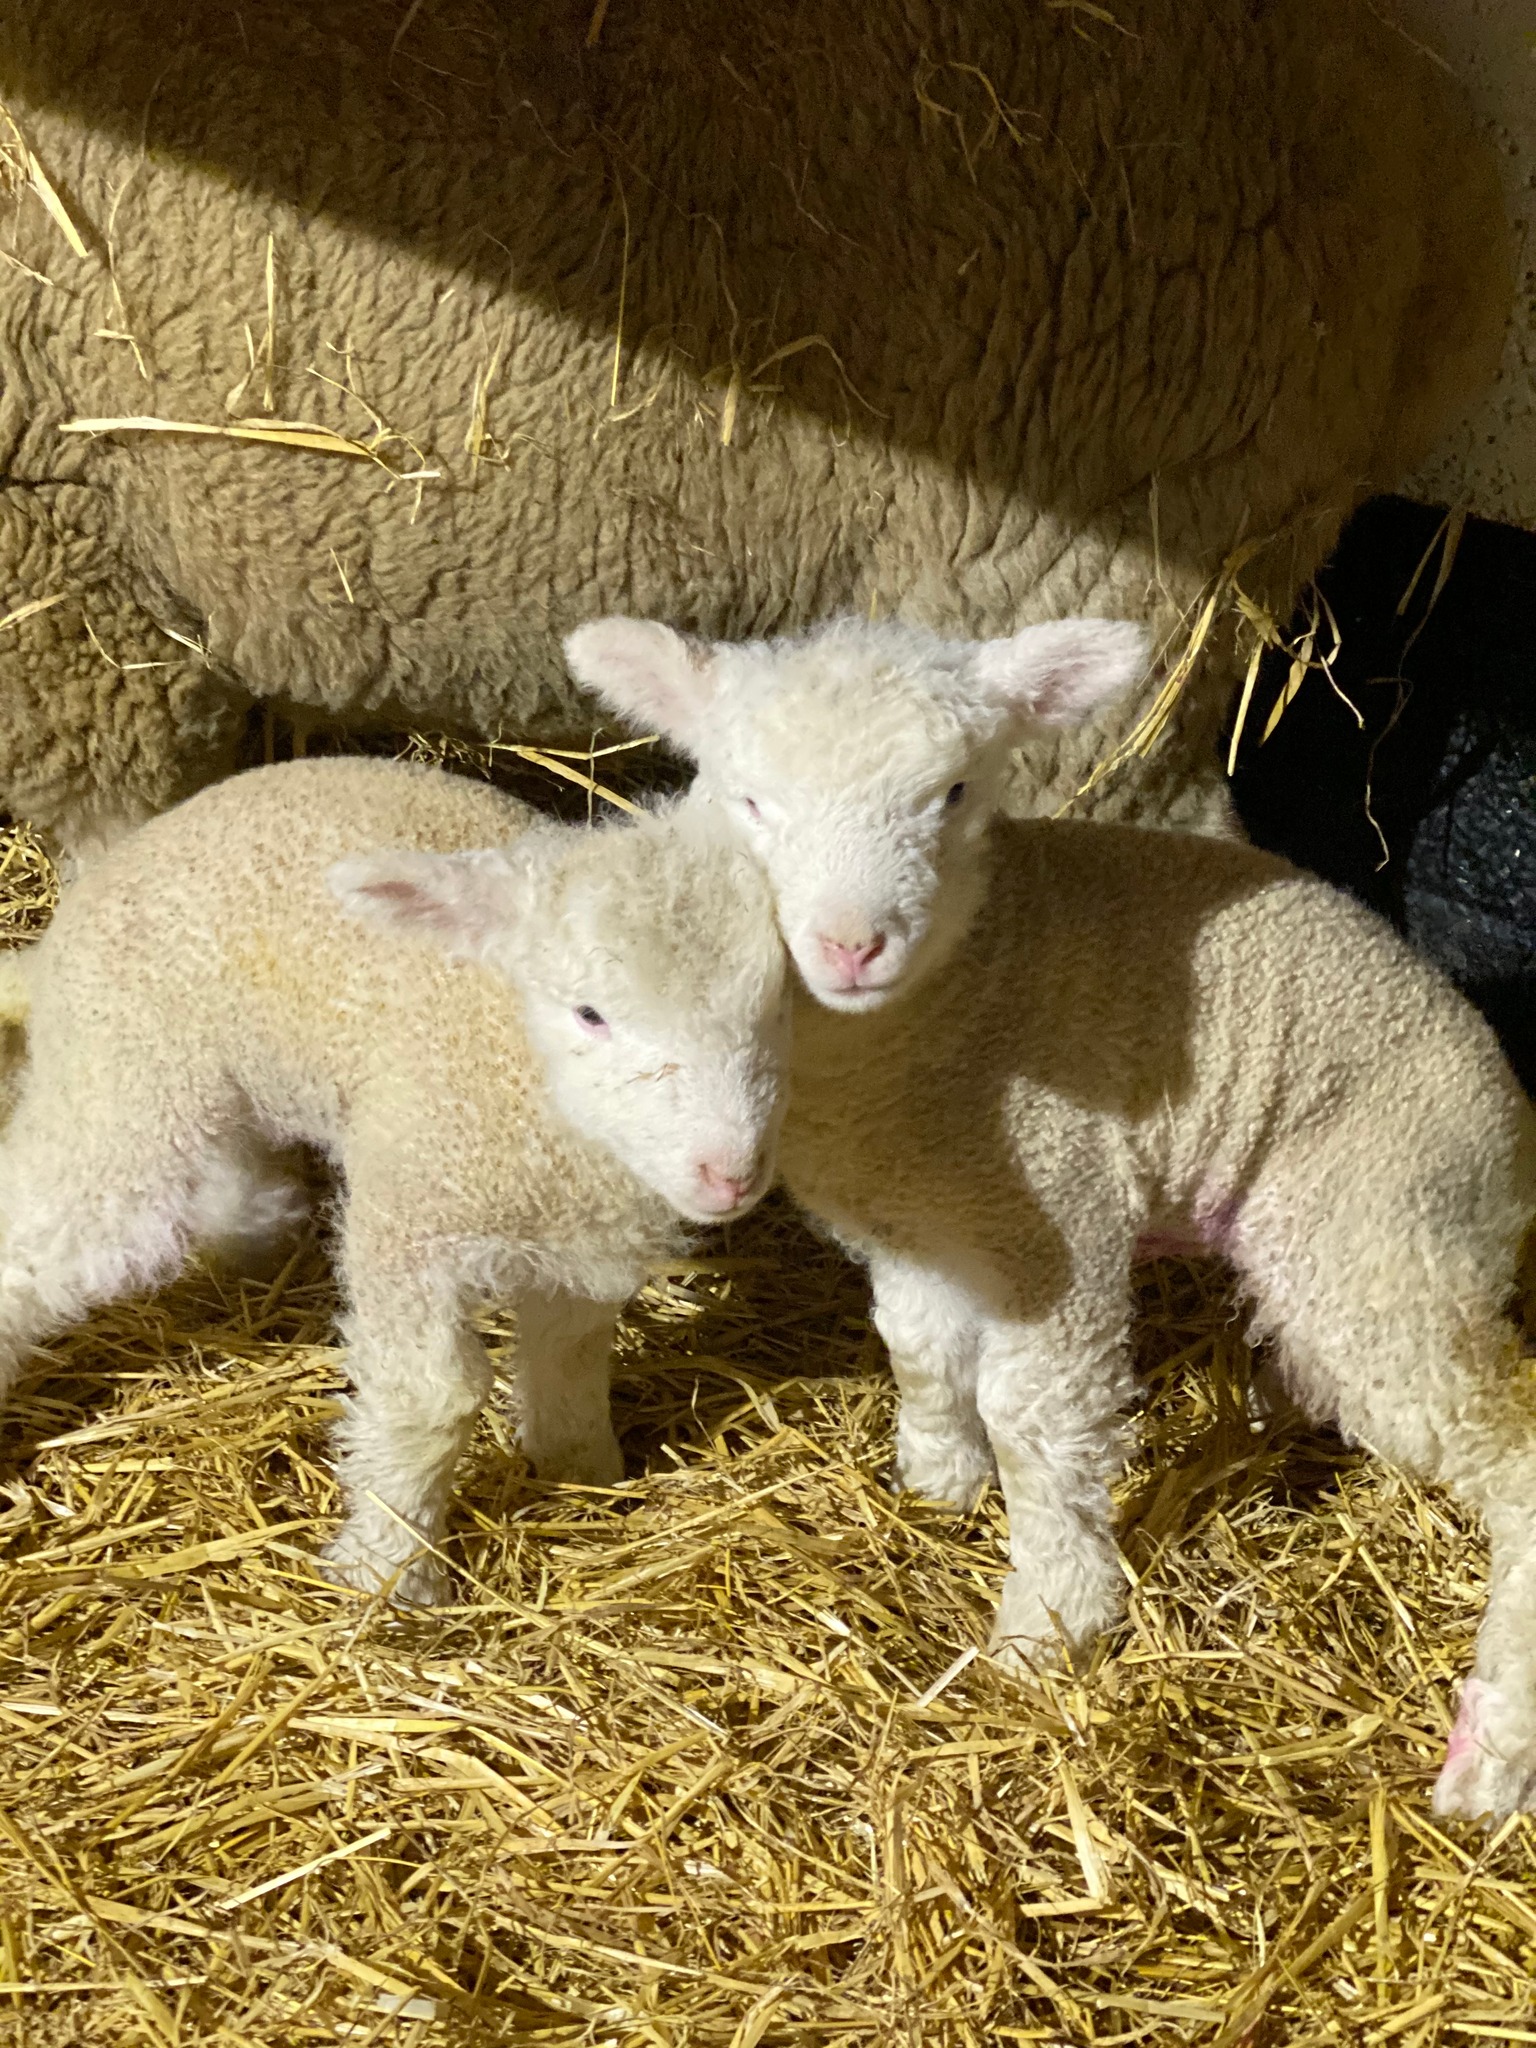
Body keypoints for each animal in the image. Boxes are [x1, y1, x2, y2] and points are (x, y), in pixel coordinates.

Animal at [0, 756, 789, 1601]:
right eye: (589, 1014)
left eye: (779, 1007)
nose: (730, 1174)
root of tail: (56, 941)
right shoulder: (408, 1222)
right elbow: (431, 1400)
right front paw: (388, 1569)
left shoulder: (583, 1249)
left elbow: (571, 1354)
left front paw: (583, 1472)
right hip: (126, 1069)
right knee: (39, 1232)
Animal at [572, 613, 1536, 1820]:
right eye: (749, 799)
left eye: (951, 792)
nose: (850, 944)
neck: (943, 1005)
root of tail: (1515, 1127)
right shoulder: (924, 1225)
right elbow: (919, 1347)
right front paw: (939, 1475)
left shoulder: (1059, 1216)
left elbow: (1039, 1418)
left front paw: (1051, 1619)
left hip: (1382, 1227)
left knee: (1513, 1457)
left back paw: (1493, 1751)